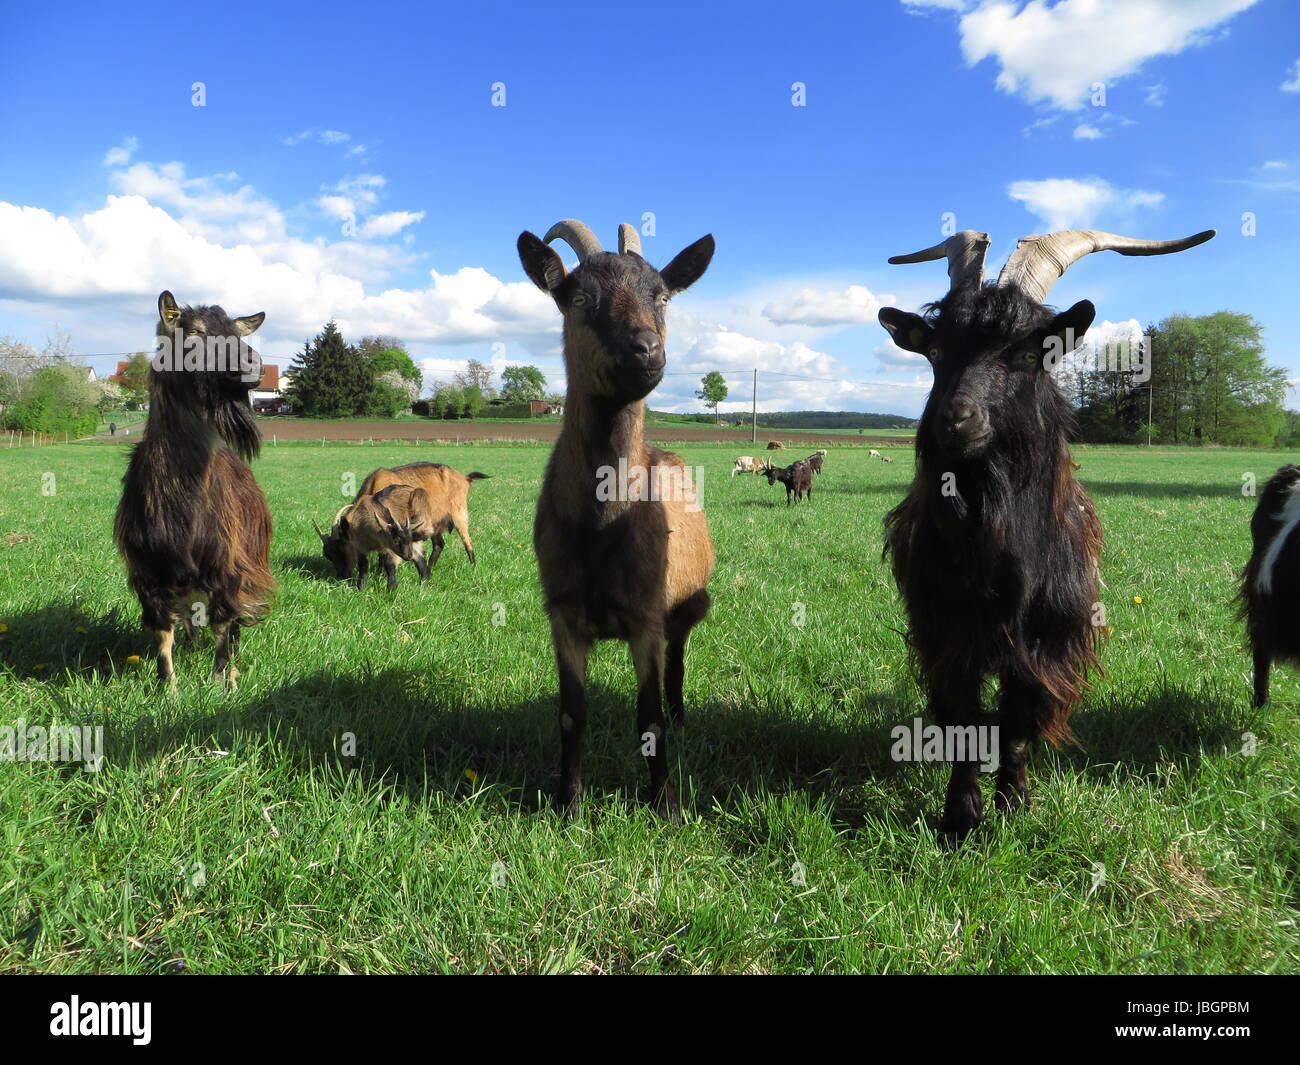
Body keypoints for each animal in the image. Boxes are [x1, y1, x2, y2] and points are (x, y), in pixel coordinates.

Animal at [114, 291, 273, 688]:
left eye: (234, 329)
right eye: (195, 331)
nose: (253, 363)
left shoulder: (228, 566)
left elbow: (223, 624)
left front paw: (222, 682)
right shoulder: (148, 574)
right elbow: (162, 634)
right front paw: (167, 687)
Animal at [518, 218, 715, 817]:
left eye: (663, 296)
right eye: (579, 297)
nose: (646, 350)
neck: (603, 524)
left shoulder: (646, 617)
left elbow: (649, 719)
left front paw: (665, 805)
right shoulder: (563, 614)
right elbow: (571, 715)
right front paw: (567, 803)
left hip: (690, 601)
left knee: (679, 658)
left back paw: (683, 713)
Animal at [878, 226, 1214, 841]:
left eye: (1030, 352)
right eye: (936, 352)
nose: (955, 419)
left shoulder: (1045, 638)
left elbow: (1016, 720)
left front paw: (1013, 804)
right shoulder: (946, 631)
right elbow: (963, 719)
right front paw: (960, 819)